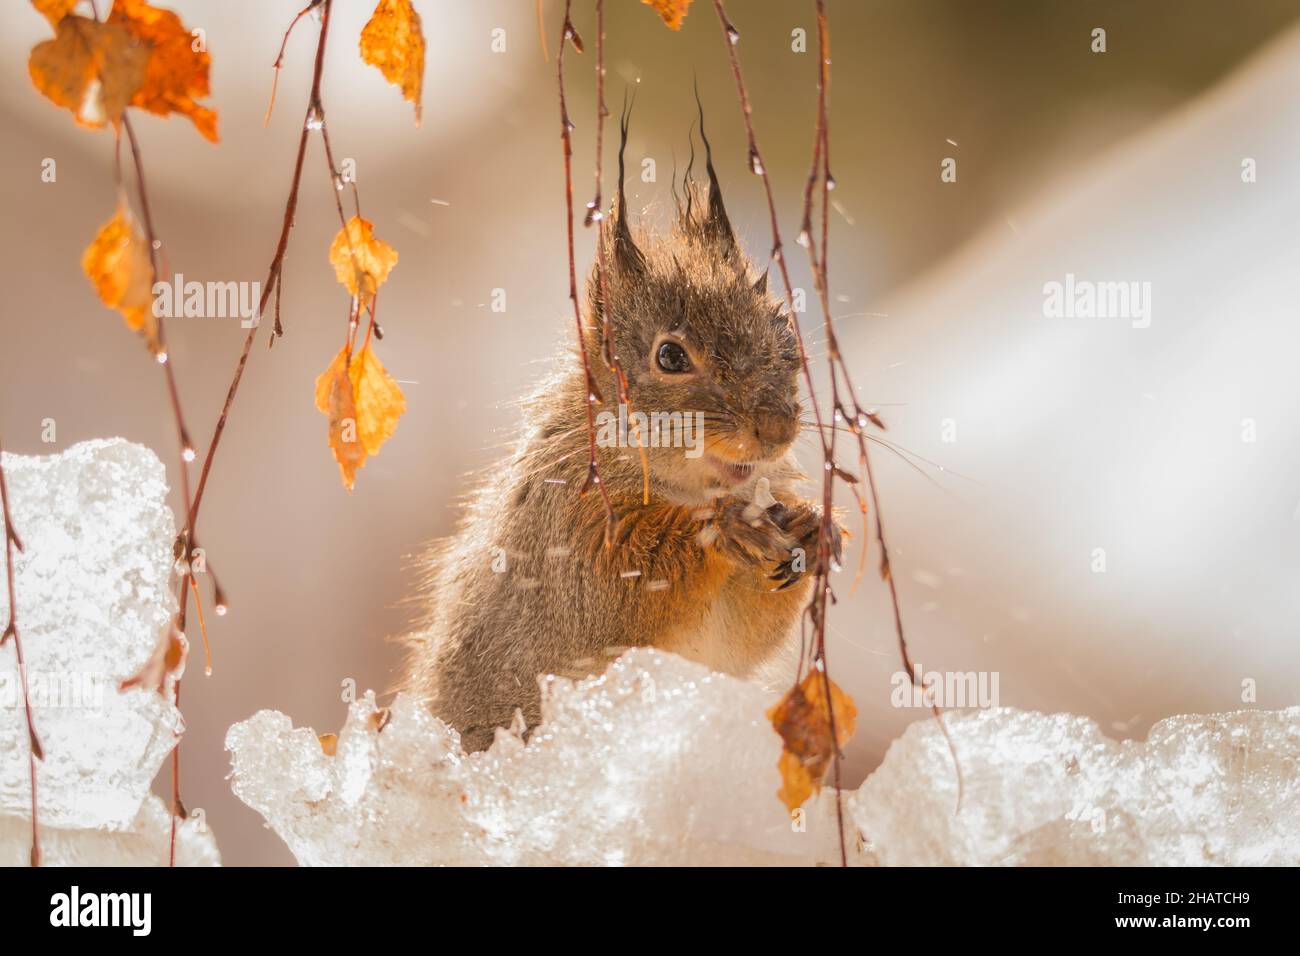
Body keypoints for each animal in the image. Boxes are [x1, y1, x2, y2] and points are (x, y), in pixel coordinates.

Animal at [399, 102, 842, 752]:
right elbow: (615, 588)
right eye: (670, 356)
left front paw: (814, 526)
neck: (690, 488)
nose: (777, 427)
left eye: (785, 330)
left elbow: (749, 634)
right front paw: (725, 529)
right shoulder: (561, 529)